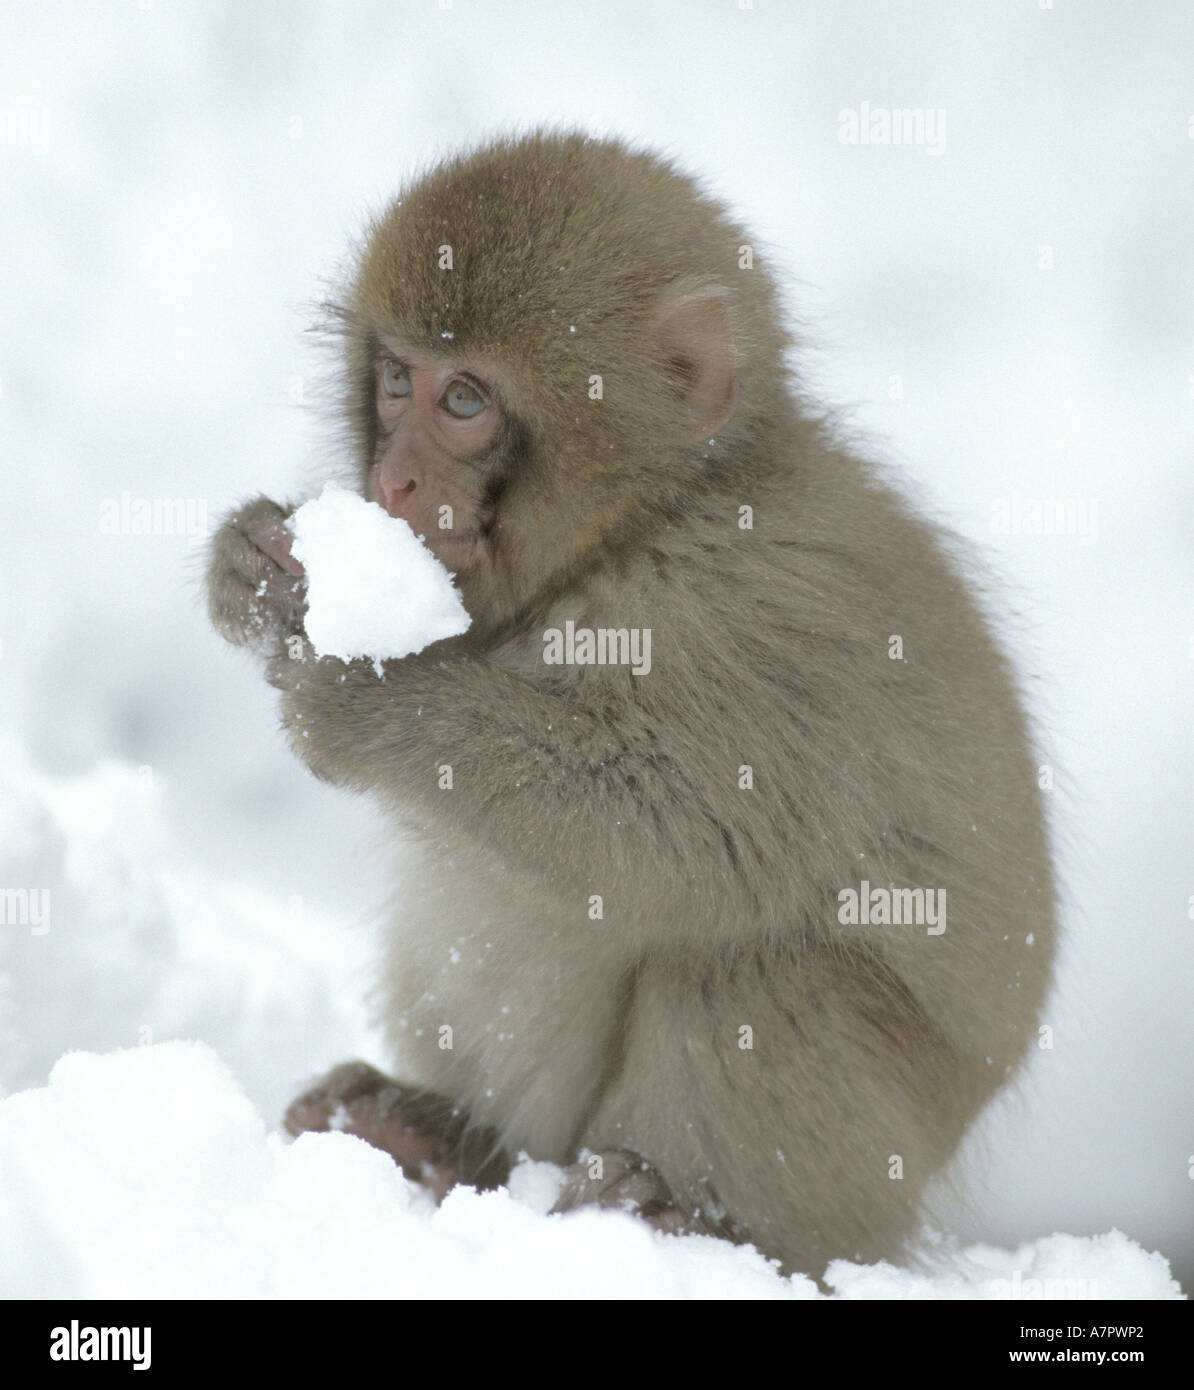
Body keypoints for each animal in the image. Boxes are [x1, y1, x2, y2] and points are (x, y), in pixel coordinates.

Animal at [206, 131, 1055, 1275]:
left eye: (463, 401)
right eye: (394, 382)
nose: (394, 482)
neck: (645, 523)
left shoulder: (748, 618)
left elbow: (691, 838)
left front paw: (369, 698)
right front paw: (251, 564)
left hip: (863, 1177)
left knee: (757, 971)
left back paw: (675, 1211)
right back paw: (437, 1134)